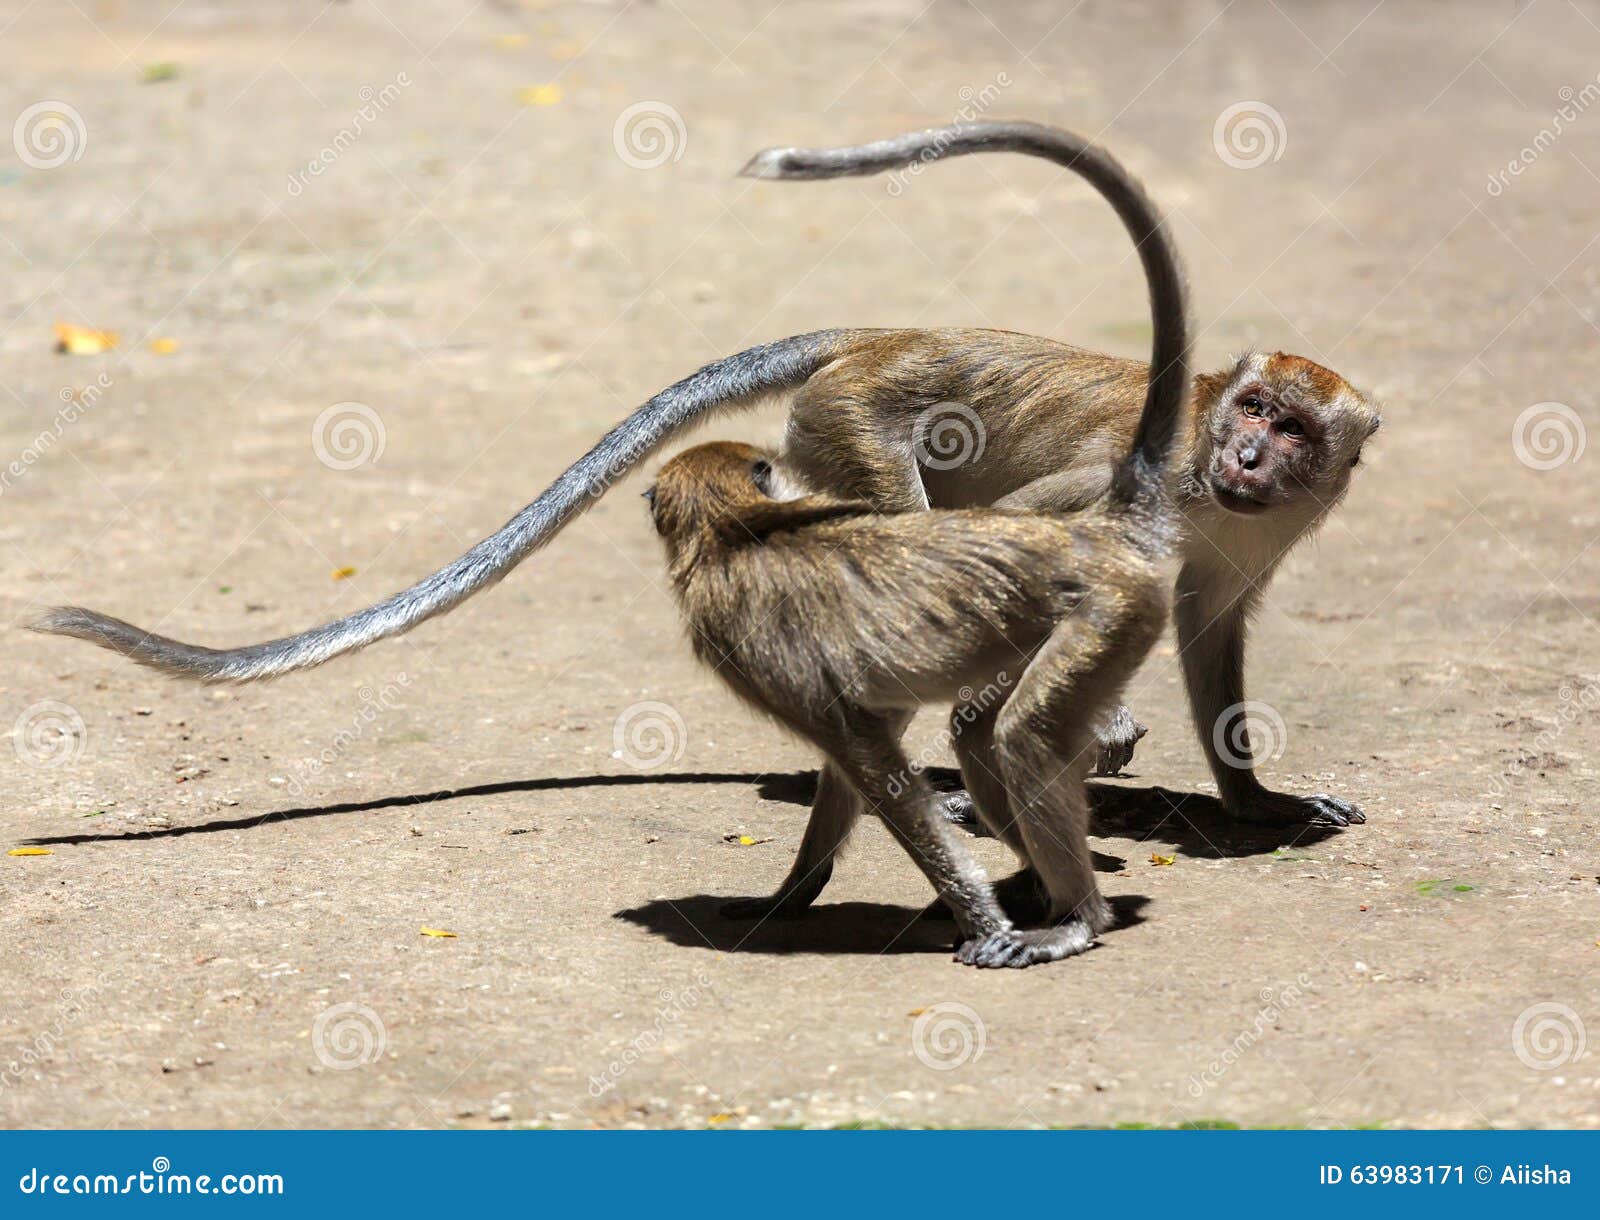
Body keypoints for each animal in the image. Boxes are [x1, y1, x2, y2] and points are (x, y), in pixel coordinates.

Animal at [32, 121, 1380, 830]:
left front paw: (1257, 800)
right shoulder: (1142, 480)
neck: (1206, 467)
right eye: (1251, 410)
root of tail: (869, 338)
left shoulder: (1252, 535)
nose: (1247, 454)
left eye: (1293, 431)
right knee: (913, 530)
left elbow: (1211, 638)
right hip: (853, 426)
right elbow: (1045, 529)